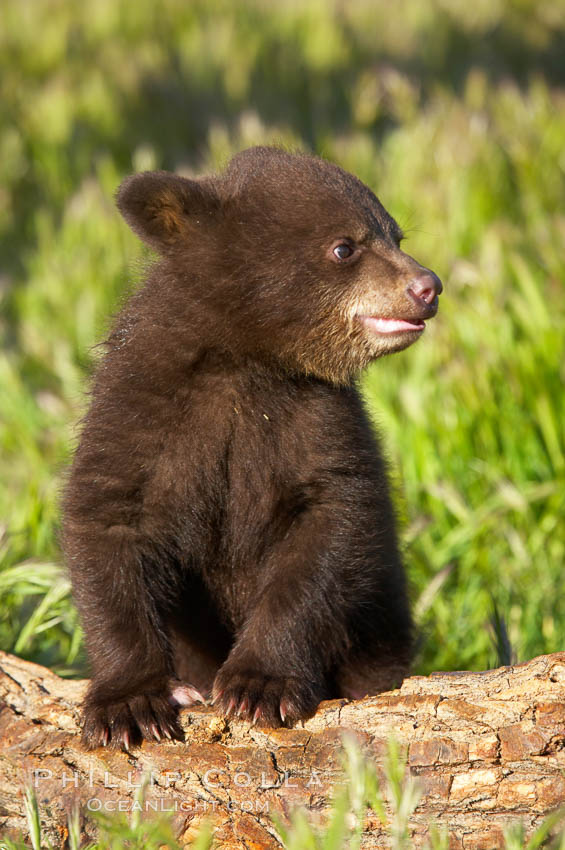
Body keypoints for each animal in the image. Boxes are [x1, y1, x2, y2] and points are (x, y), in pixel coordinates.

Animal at [62, 146, 442, 750]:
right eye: (345, 246)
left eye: (397, 236)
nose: (429, 286)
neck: (245, 363)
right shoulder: (140, 408)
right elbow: (109, 521)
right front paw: (129, 703)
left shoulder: (320, 421)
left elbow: (327, 528)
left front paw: (258, 684)